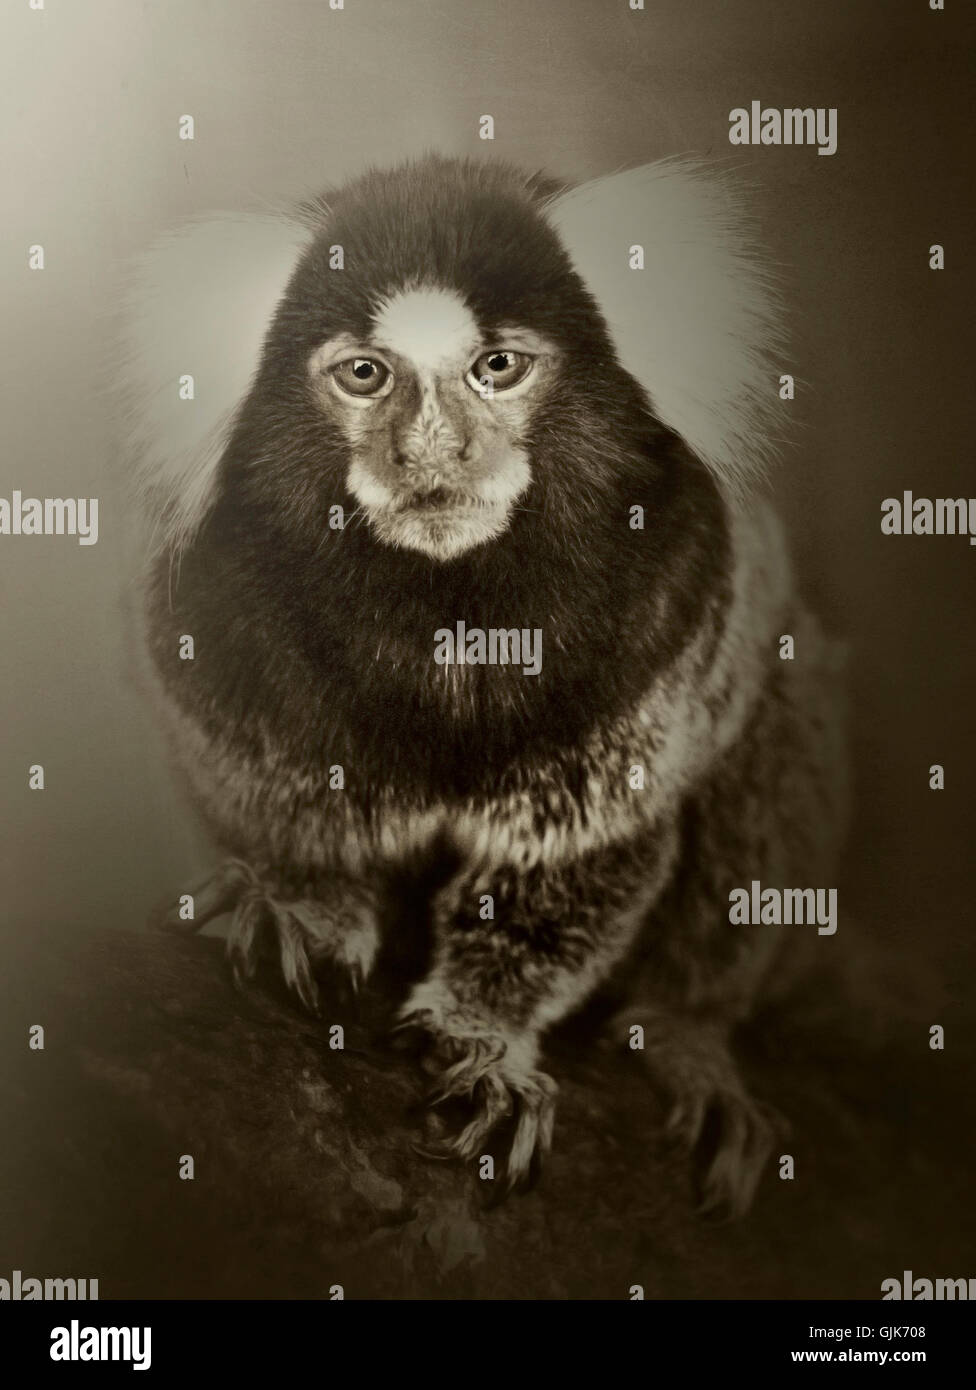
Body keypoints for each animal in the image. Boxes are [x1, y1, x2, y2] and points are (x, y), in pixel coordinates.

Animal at [120, 153, 847, 1219]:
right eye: (365, 375)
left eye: (498, 367)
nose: (431, 454)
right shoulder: (214, 615)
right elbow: (269, 785)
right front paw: (303, 903)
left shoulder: (678, 594)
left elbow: (581, 847)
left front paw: (483, 1035)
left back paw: (691, 1032)